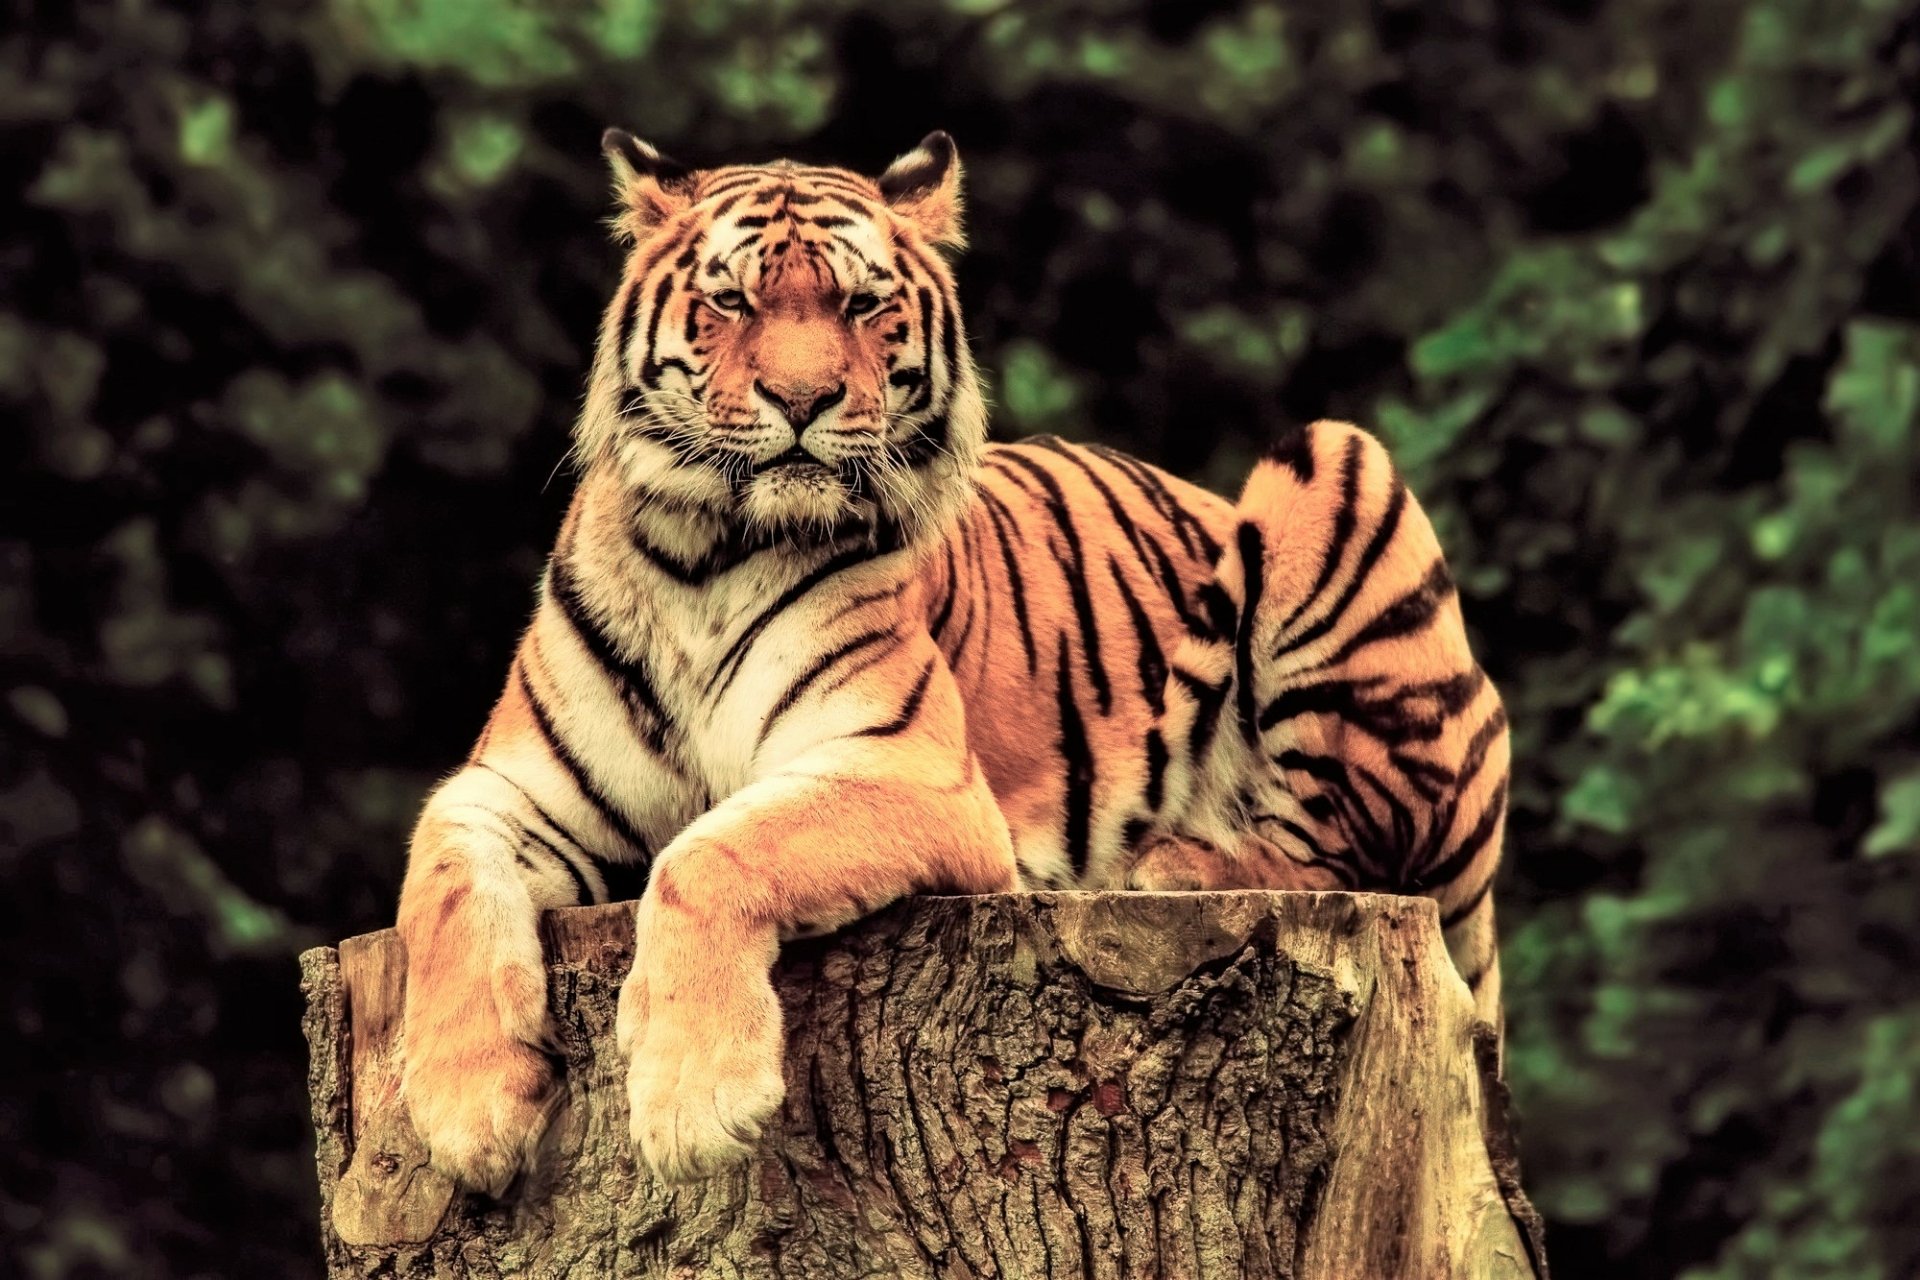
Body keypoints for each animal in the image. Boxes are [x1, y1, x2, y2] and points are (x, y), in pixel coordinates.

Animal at [396, 130, 1510, 1191]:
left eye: (862, 303)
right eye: (731, 300)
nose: (801, 397)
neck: (703, 557)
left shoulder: (908, 768)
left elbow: (709, 852)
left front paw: (694, 1104)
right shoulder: (508, 788)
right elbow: (439, 889)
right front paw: (468, 1113)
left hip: (1337, 467)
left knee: (1353, 845)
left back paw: (1174, 860)